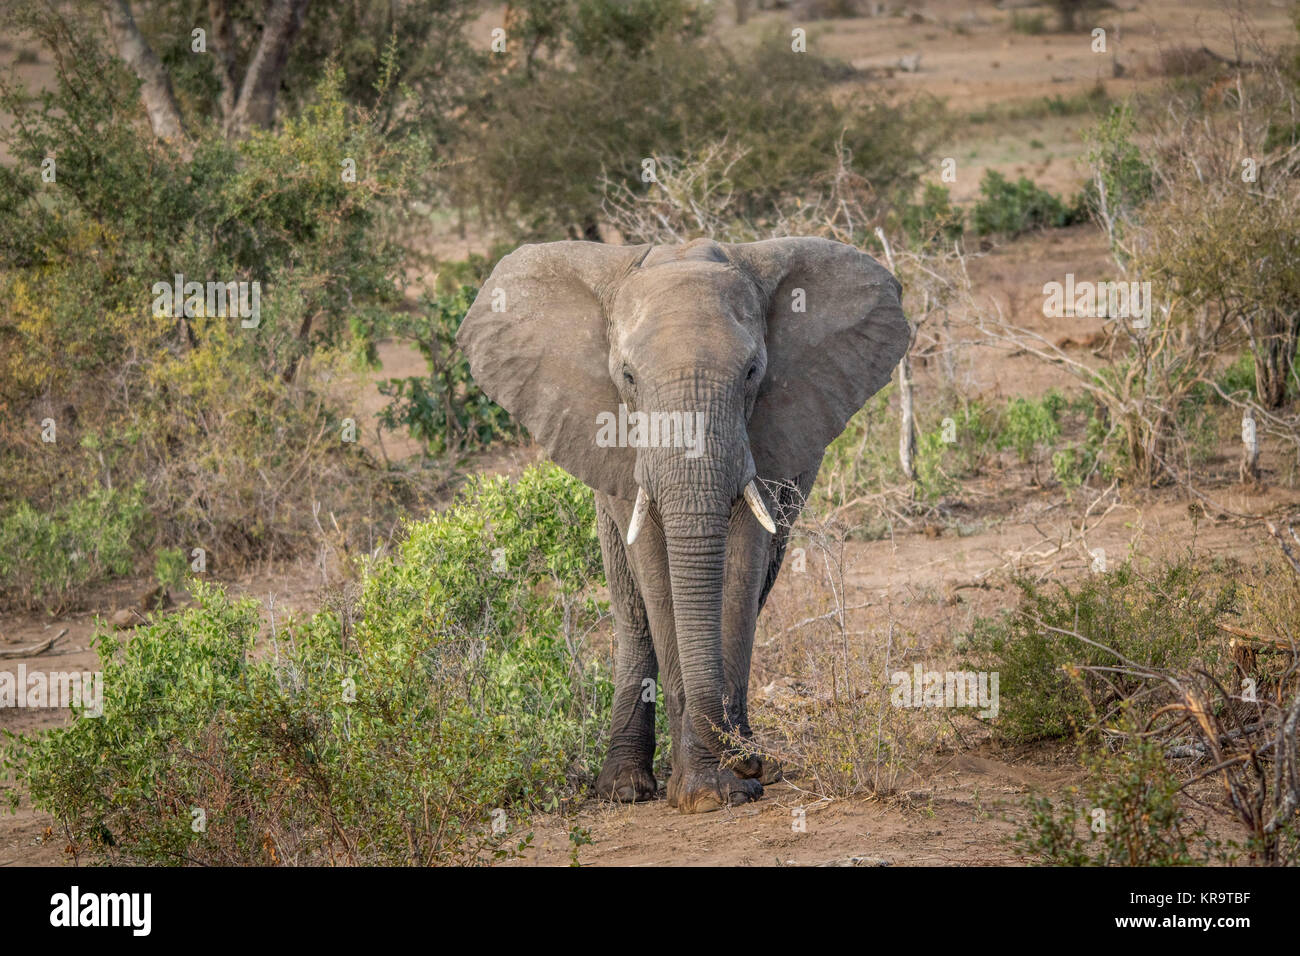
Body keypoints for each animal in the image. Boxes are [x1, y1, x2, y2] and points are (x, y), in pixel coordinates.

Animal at [457, 236, 909, 813]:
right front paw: (707, 791)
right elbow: (655, 567)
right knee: (631, 609)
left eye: (752, 372)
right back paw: (624, 787)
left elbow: (740, 566)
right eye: (627, 377)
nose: (745, 763)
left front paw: (727, 781)